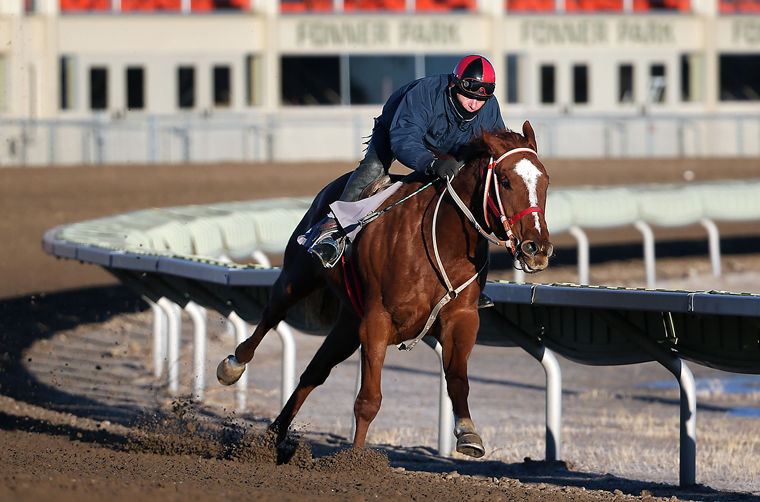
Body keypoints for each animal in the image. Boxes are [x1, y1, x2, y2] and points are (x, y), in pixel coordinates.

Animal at [217, 120, 553, 458]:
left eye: (545, 181)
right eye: (506, 181)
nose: (537, 248)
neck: (443, 242)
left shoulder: (462, 318)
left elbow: (458, 379)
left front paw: (468, 433)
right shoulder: (377, 321)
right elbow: (368, 400)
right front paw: (354, 460)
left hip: (349, 322)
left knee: (314, 371)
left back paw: (271, 436)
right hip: (297, 277)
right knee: (271, 314)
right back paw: (232, 366)